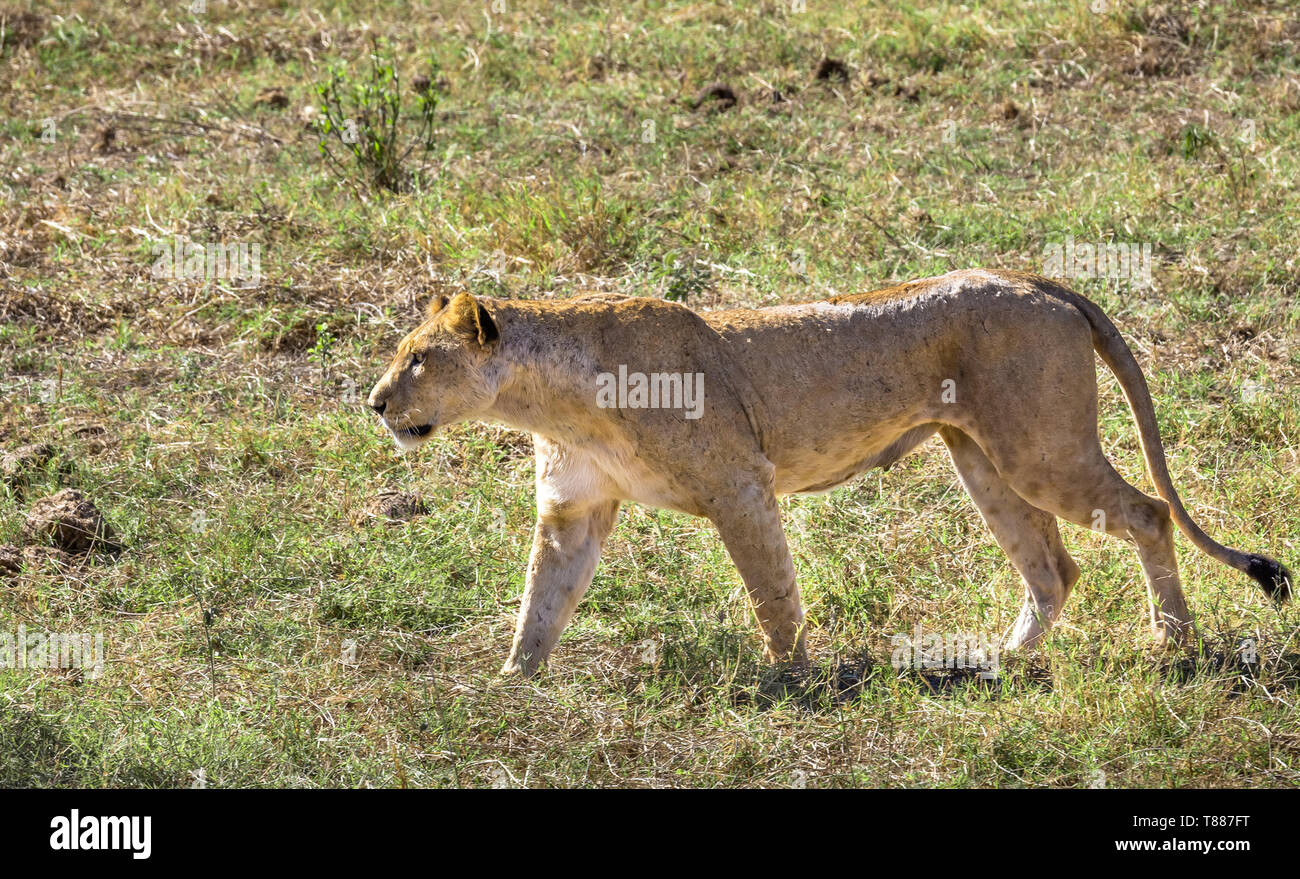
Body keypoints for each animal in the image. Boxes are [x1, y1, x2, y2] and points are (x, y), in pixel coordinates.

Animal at [367, 269, 1292, 678]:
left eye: (418, 359)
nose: (374, 402)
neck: (551, 398)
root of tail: (1034, 279)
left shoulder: (739, 483)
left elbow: (772, 590)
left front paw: (792, 680)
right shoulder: (572, 510)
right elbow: (541, 604)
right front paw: (511, 685)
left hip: (1041, 450)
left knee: (1148, 514)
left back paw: (1171, 643)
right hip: (983, 459)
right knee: (1054, 567)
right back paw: (995, 661)